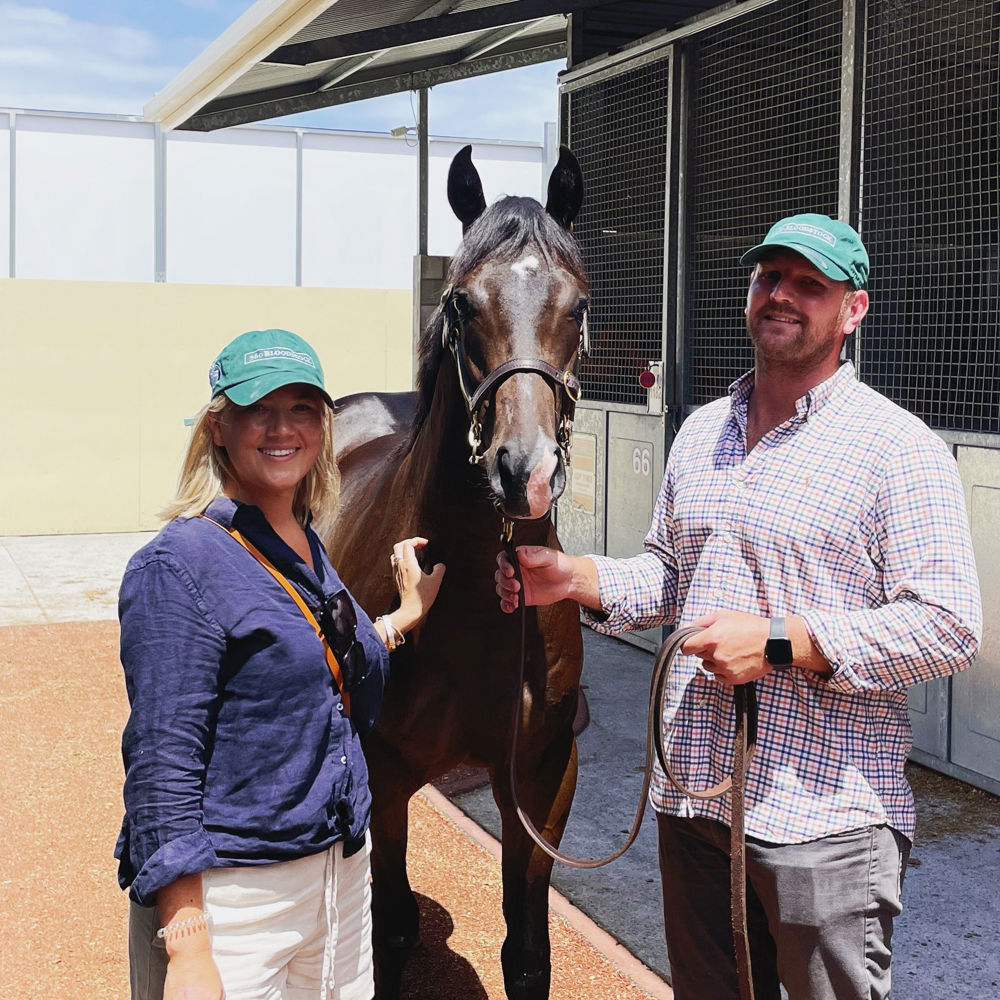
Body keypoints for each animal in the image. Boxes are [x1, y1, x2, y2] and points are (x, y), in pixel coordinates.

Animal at [325, 144, 589, 1000]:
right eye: (462, 303)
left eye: (578, 306)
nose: (524, 470)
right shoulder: (386, 770)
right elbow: (391, 933)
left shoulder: (541, 773)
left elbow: (527, 954)